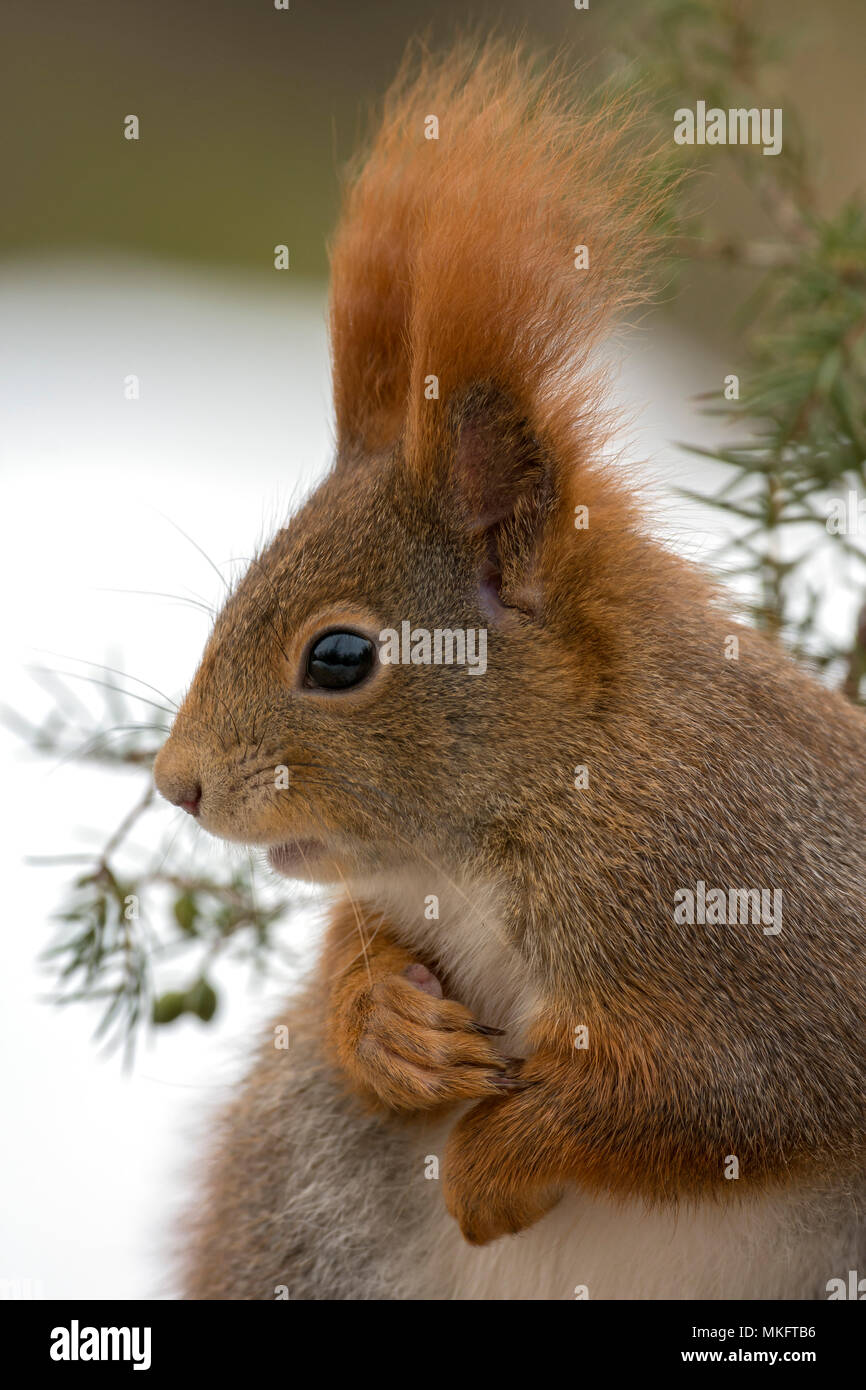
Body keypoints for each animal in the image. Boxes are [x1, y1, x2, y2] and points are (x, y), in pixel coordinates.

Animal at [153, 41, 865, 1300]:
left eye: (340, 656)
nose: (175, 783)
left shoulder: (778, 939)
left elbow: (710, 1103)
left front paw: (499, 1157)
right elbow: (354, 961)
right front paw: (382, 1022)